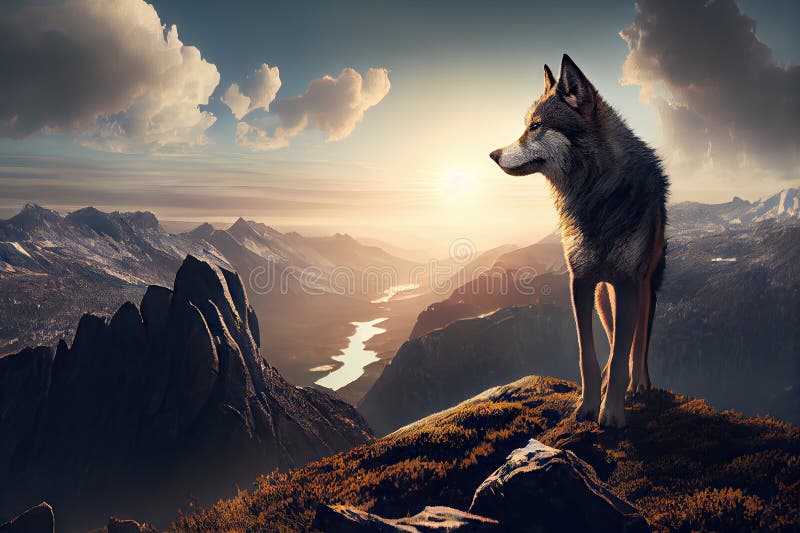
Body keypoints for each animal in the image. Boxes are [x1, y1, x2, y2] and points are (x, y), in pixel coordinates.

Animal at [489, 54, 668, 428]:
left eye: (536, 126)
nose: (494, 154)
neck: (594, 193)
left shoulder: (628, 283)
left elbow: (625, 352)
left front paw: (612, 414)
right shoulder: (581, 282)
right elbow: (589, 355)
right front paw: (587, 407)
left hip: (645, 286)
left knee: (638, 341)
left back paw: (639, 383)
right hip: (604, 294)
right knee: (614, 337)